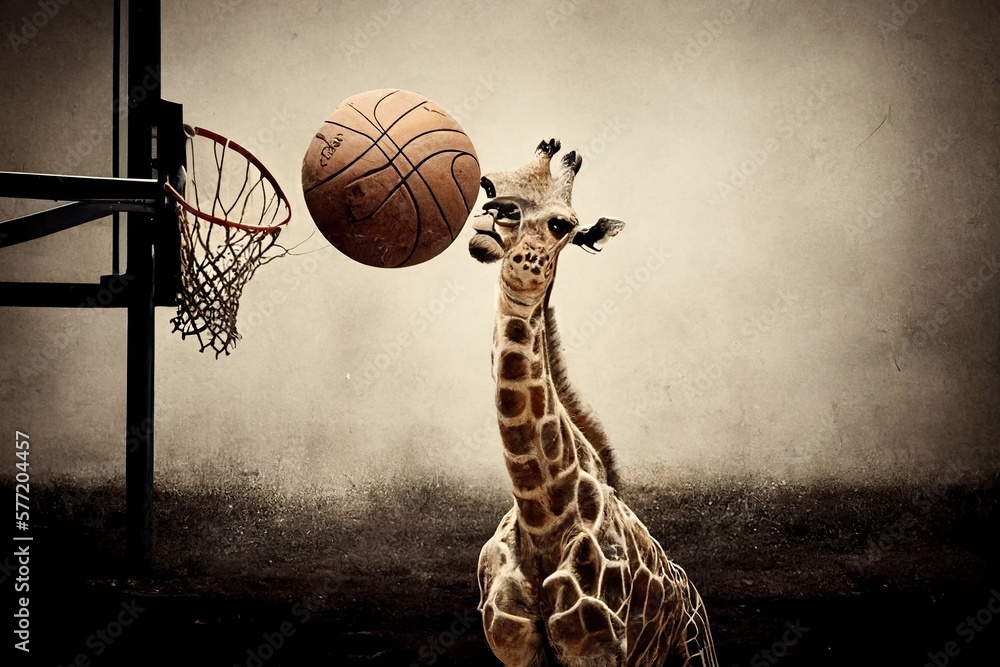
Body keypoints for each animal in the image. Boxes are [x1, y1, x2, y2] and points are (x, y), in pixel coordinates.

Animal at [468, 139, 718, 667]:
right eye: (490, 186)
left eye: (561, 224)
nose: (489, 222)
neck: (542, 516)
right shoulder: (513, 646)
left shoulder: (596, 648)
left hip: (692, 653)